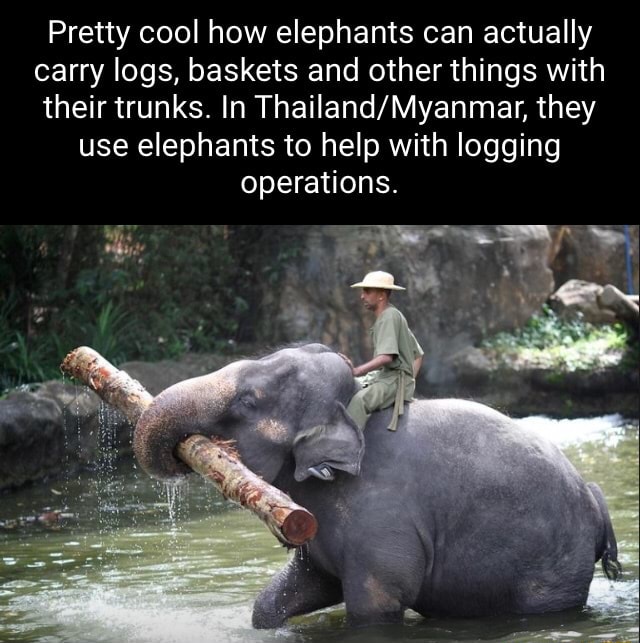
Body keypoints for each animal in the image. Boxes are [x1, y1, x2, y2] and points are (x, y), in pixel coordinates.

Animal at [133, 343, 621, 628]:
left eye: (249, 401)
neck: (350, 406)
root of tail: (596, 500)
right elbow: (292, 592)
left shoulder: (382, 518)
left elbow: (375, 604)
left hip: (555, 569)